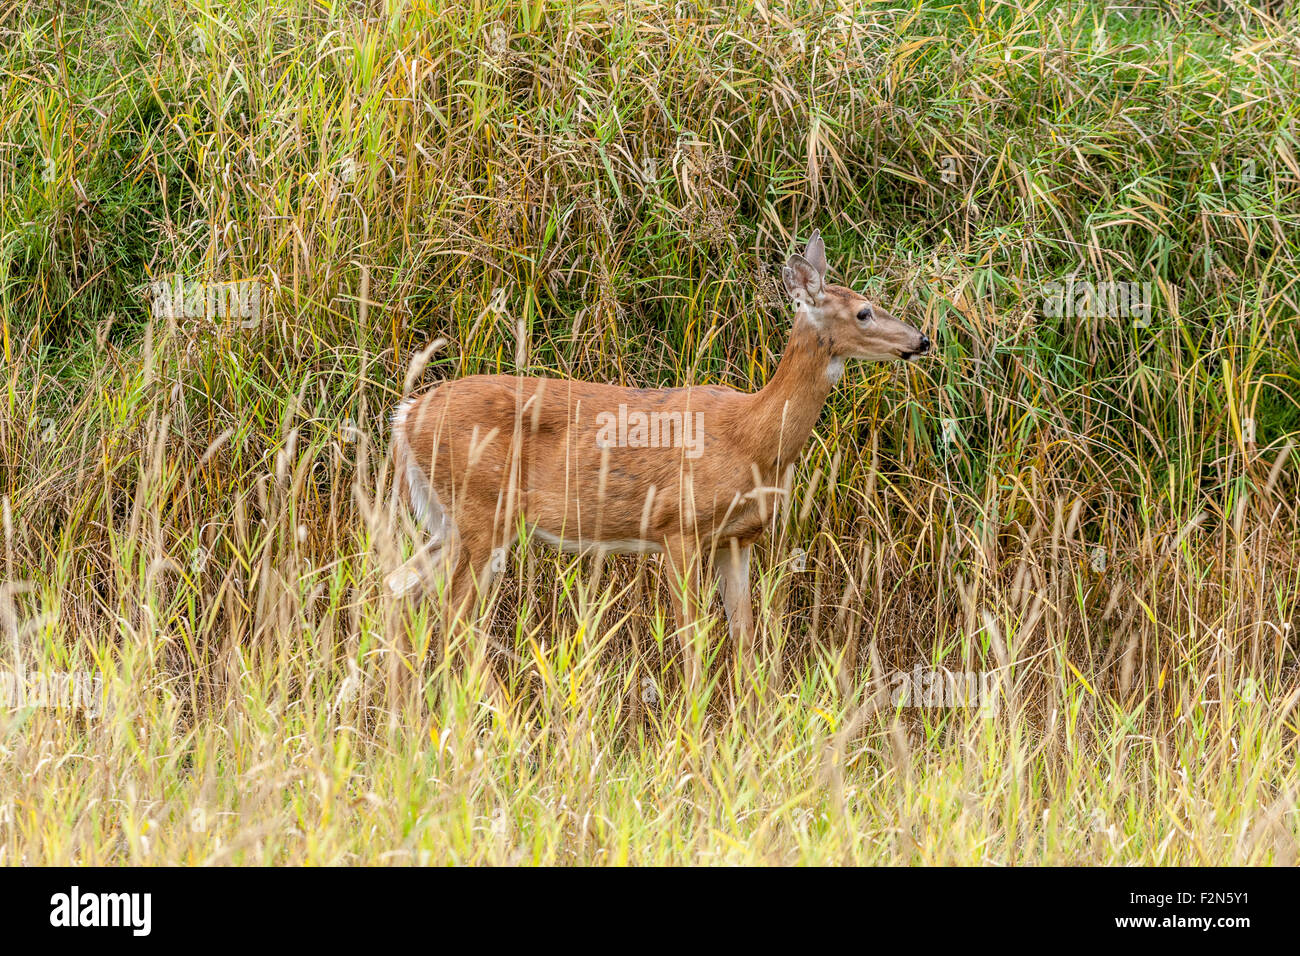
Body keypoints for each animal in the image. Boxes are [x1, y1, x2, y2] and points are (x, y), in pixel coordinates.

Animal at [386, 230, 930, 653]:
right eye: (864, 312)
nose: (922, 340)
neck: (751, 439)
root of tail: (406, 416)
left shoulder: (739, 538)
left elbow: (745, 637)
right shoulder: (677, 526)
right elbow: (693, 639)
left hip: (451, 520)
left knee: (399, 586)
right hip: (481, 512)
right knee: (451, 616)